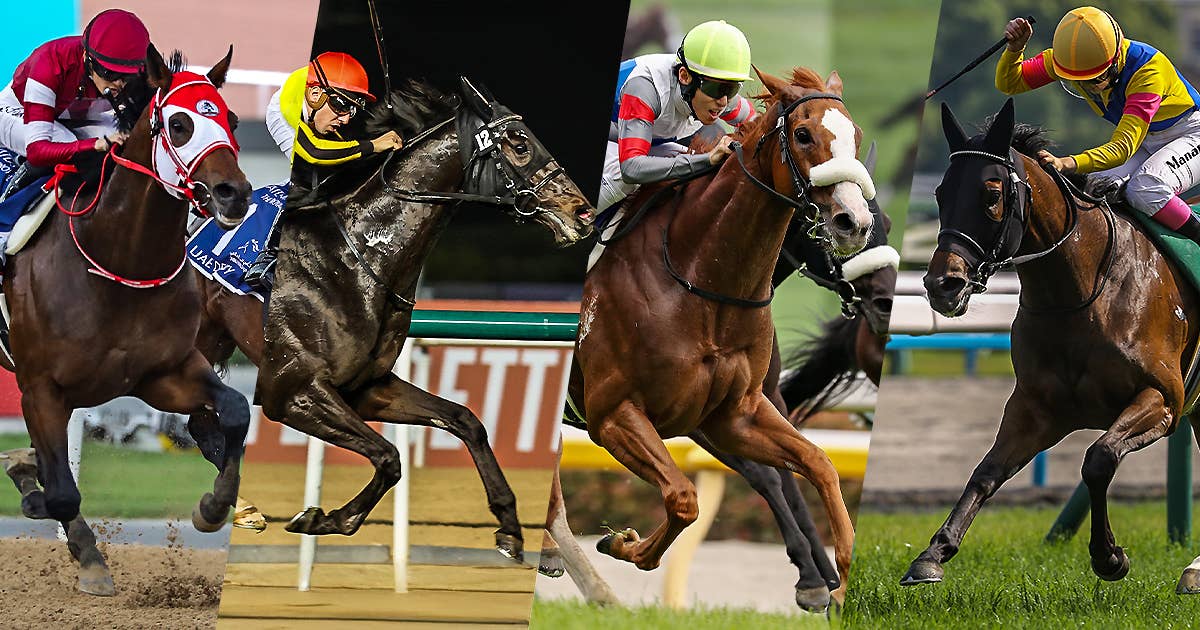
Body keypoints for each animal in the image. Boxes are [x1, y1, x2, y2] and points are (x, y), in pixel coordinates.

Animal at [0, 45, 251, 596]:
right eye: (178, 123)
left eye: (231, 118)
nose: (234, 194)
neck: (118, 264)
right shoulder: (41, 388)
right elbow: (63, 492)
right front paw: (88, 557)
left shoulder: (164, 373)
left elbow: (236, 410)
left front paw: (212, 507)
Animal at [194, 78, 592, 564]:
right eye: (519, 143)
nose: (583, 212)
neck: (357, 260)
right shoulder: (290, 391)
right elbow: (389, 457)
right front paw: (325, 518)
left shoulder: (365, 388)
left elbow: (465, 420)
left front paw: (510, 527)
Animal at [902, 97, 1200, 593]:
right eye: (941, 193)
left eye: (991, 193)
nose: (942, 284)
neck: (1083, 289)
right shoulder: (1036, 407)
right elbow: (985, 473)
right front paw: (932, 555)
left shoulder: (1163, 398)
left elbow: (1098, 458)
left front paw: (1109, 556)